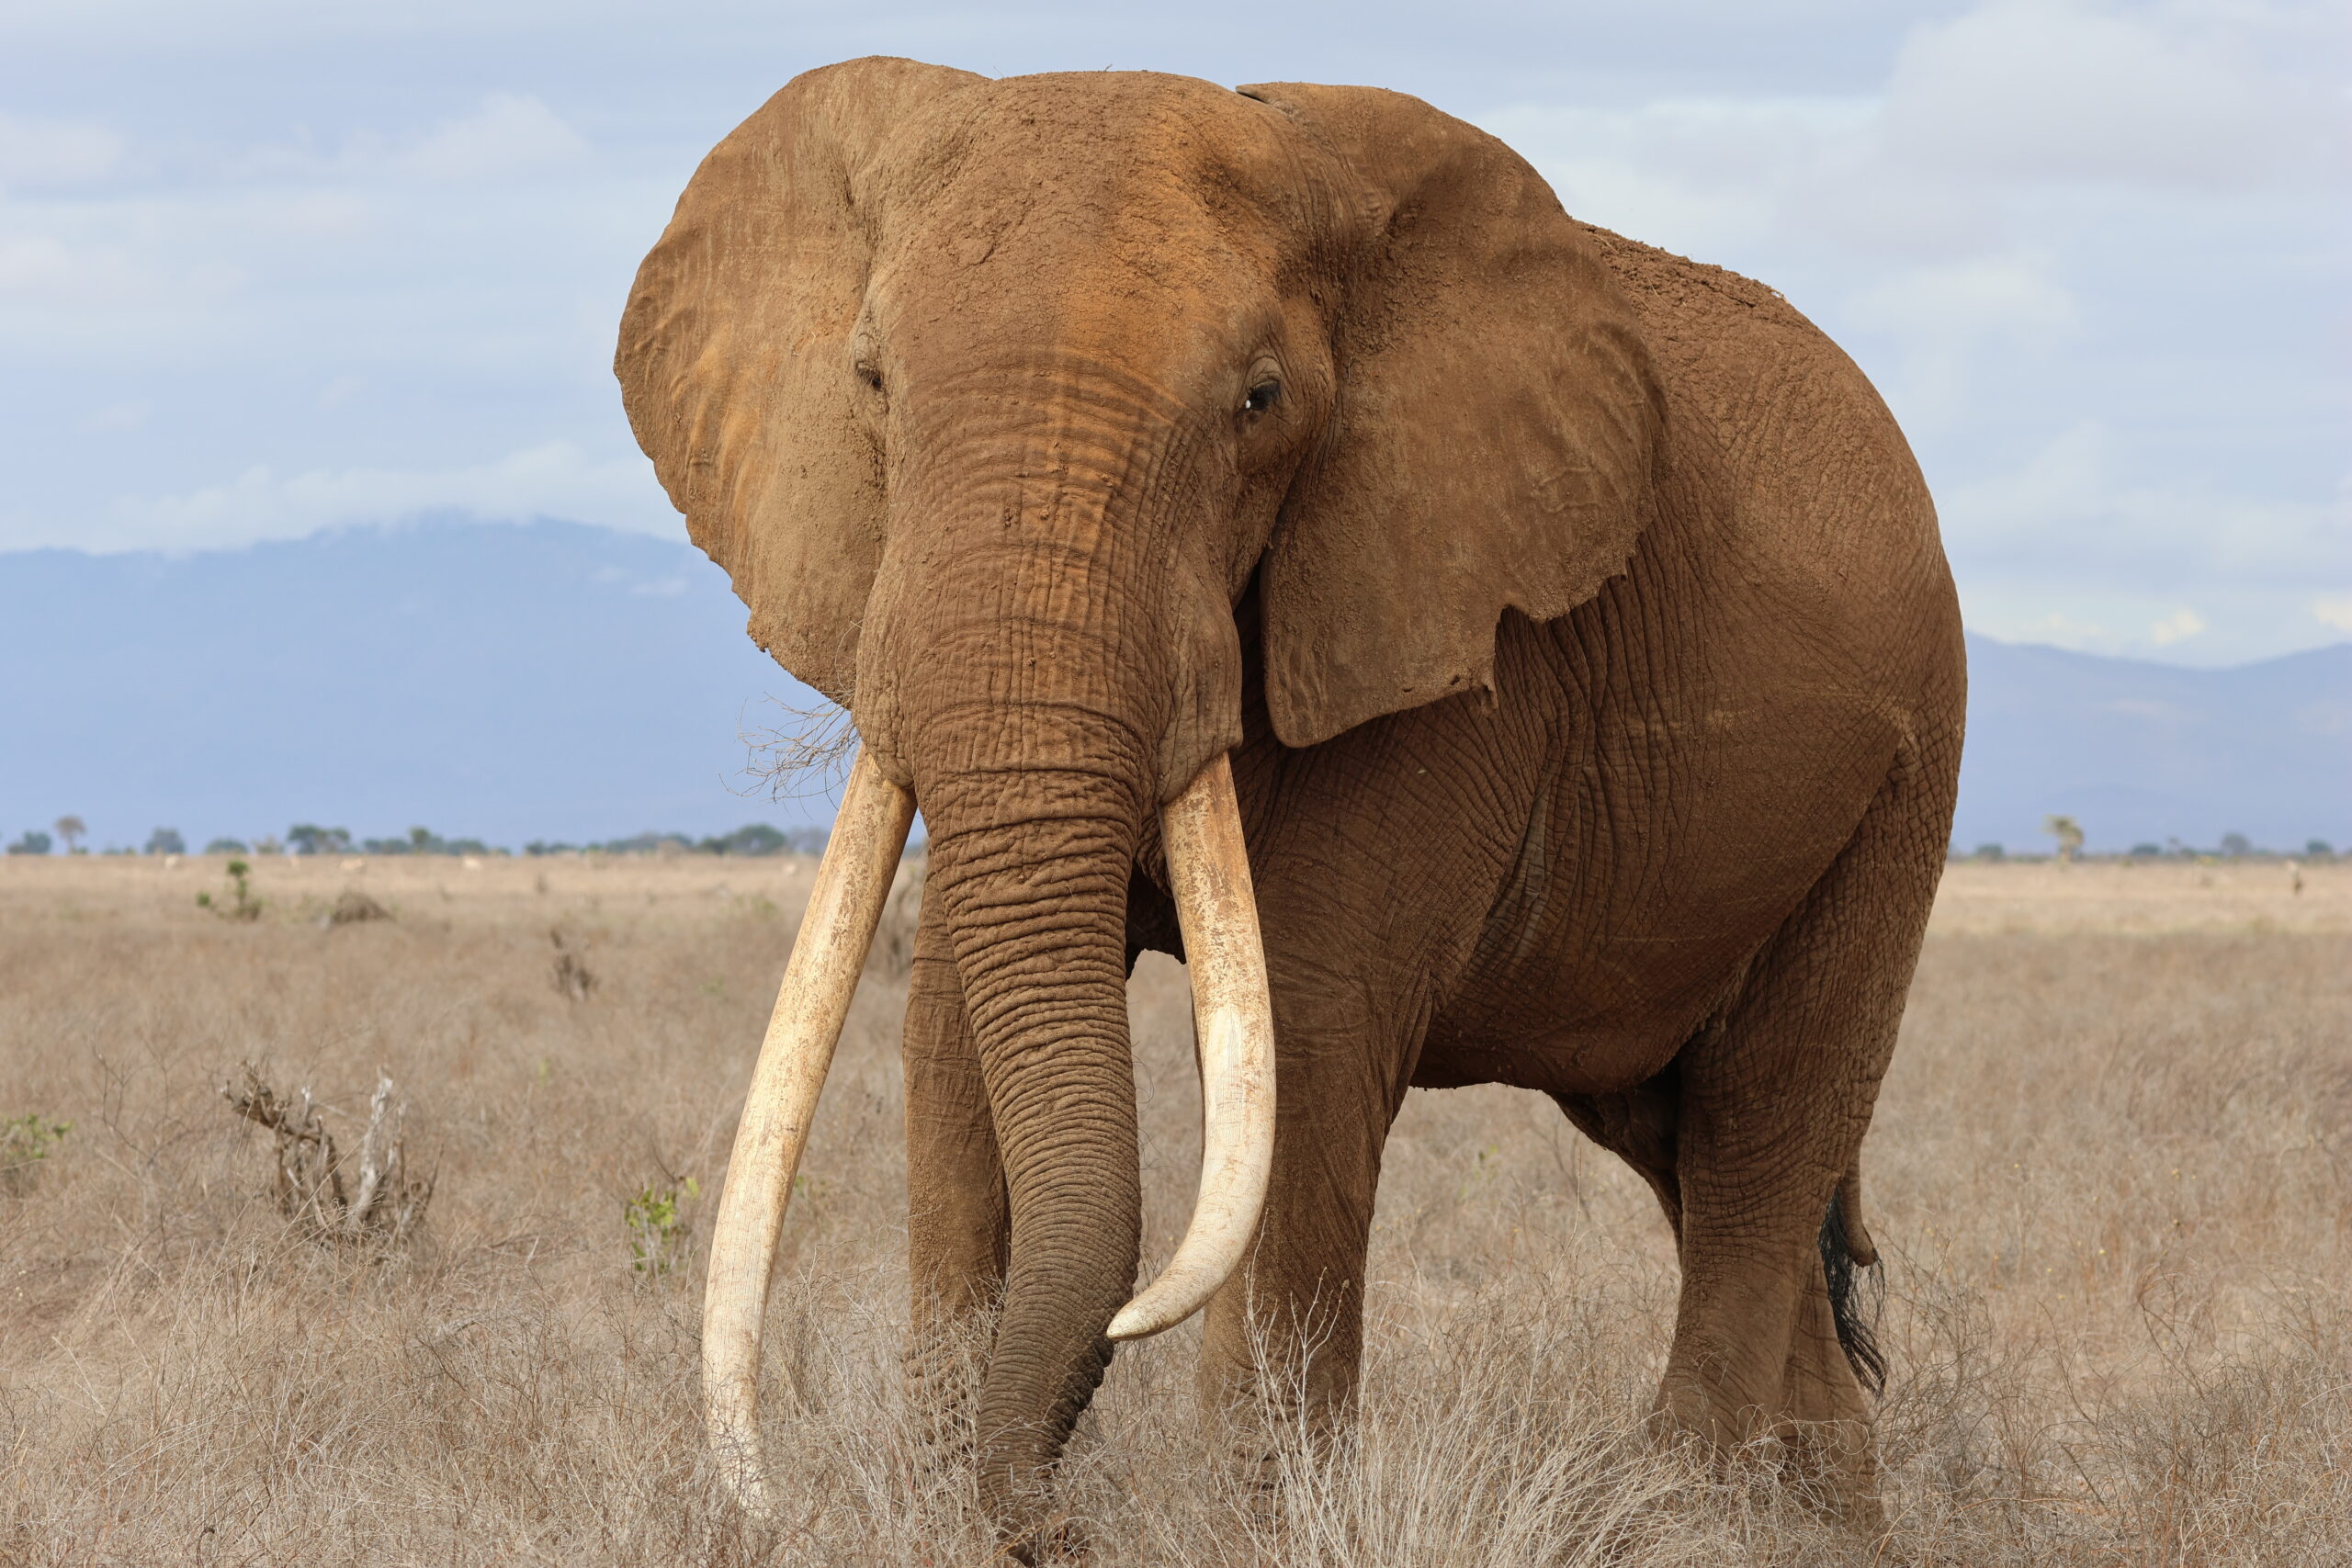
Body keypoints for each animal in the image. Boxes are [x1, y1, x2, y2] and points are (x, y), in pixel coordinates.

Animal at [617, 57, 1964, 1553]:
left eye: (1260, 401)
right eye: (871, 381)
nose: (1055, 1524)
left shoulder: (1451, 640)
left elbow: (1312, 1038)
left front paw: (1246, 1527)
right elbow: (954, 1021)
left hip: (1901, 784)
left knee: (1758, 1142)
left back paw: (1674, 1507)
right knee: (1683, 1147)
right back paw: (1837, 1523)